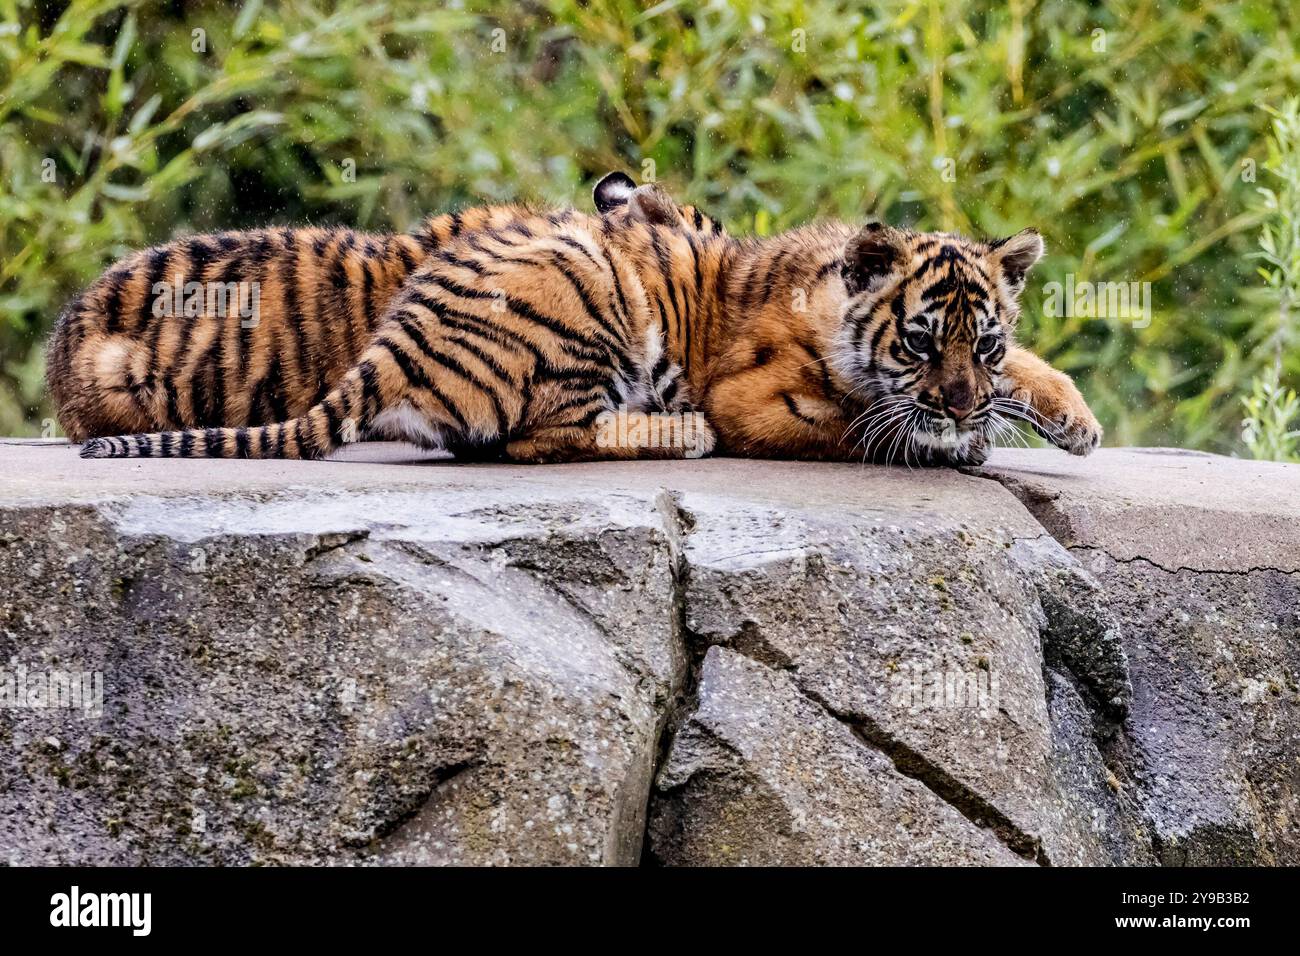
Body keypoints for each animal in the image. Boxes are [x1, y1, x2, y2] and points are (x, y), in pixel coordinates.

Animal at [52, 173, 1100, 465]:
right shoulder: (758, 399)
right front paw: (949, 440)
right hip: (591, 301)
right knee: (537, 438)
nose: (961, 404)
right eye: (920, 342)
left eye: (985, 342)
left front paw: (1067, 417)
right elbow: (856, 423)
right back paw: (677, 432)